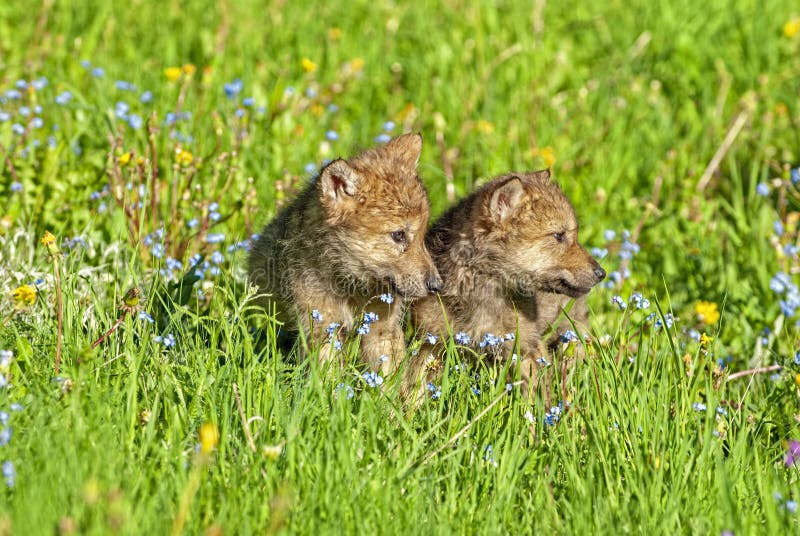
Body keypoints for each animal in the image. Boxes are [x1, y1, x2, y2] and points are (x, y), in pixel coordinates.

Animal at [248, 133, 442, 375]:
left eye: (422, 234)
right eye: (398, 235)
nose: (436, 285)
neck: (351, 285)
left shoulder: (382, 329)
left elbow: (390, 375)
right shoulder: (322, 325)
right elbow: (328, 376)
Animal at [404, 169, 605, 399]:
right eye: (558, 235)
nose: (601, 273)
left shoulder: (525, 346)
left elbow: (536, 397)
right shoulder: (431, 341)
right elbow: (414, 388)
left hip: (571, 331)